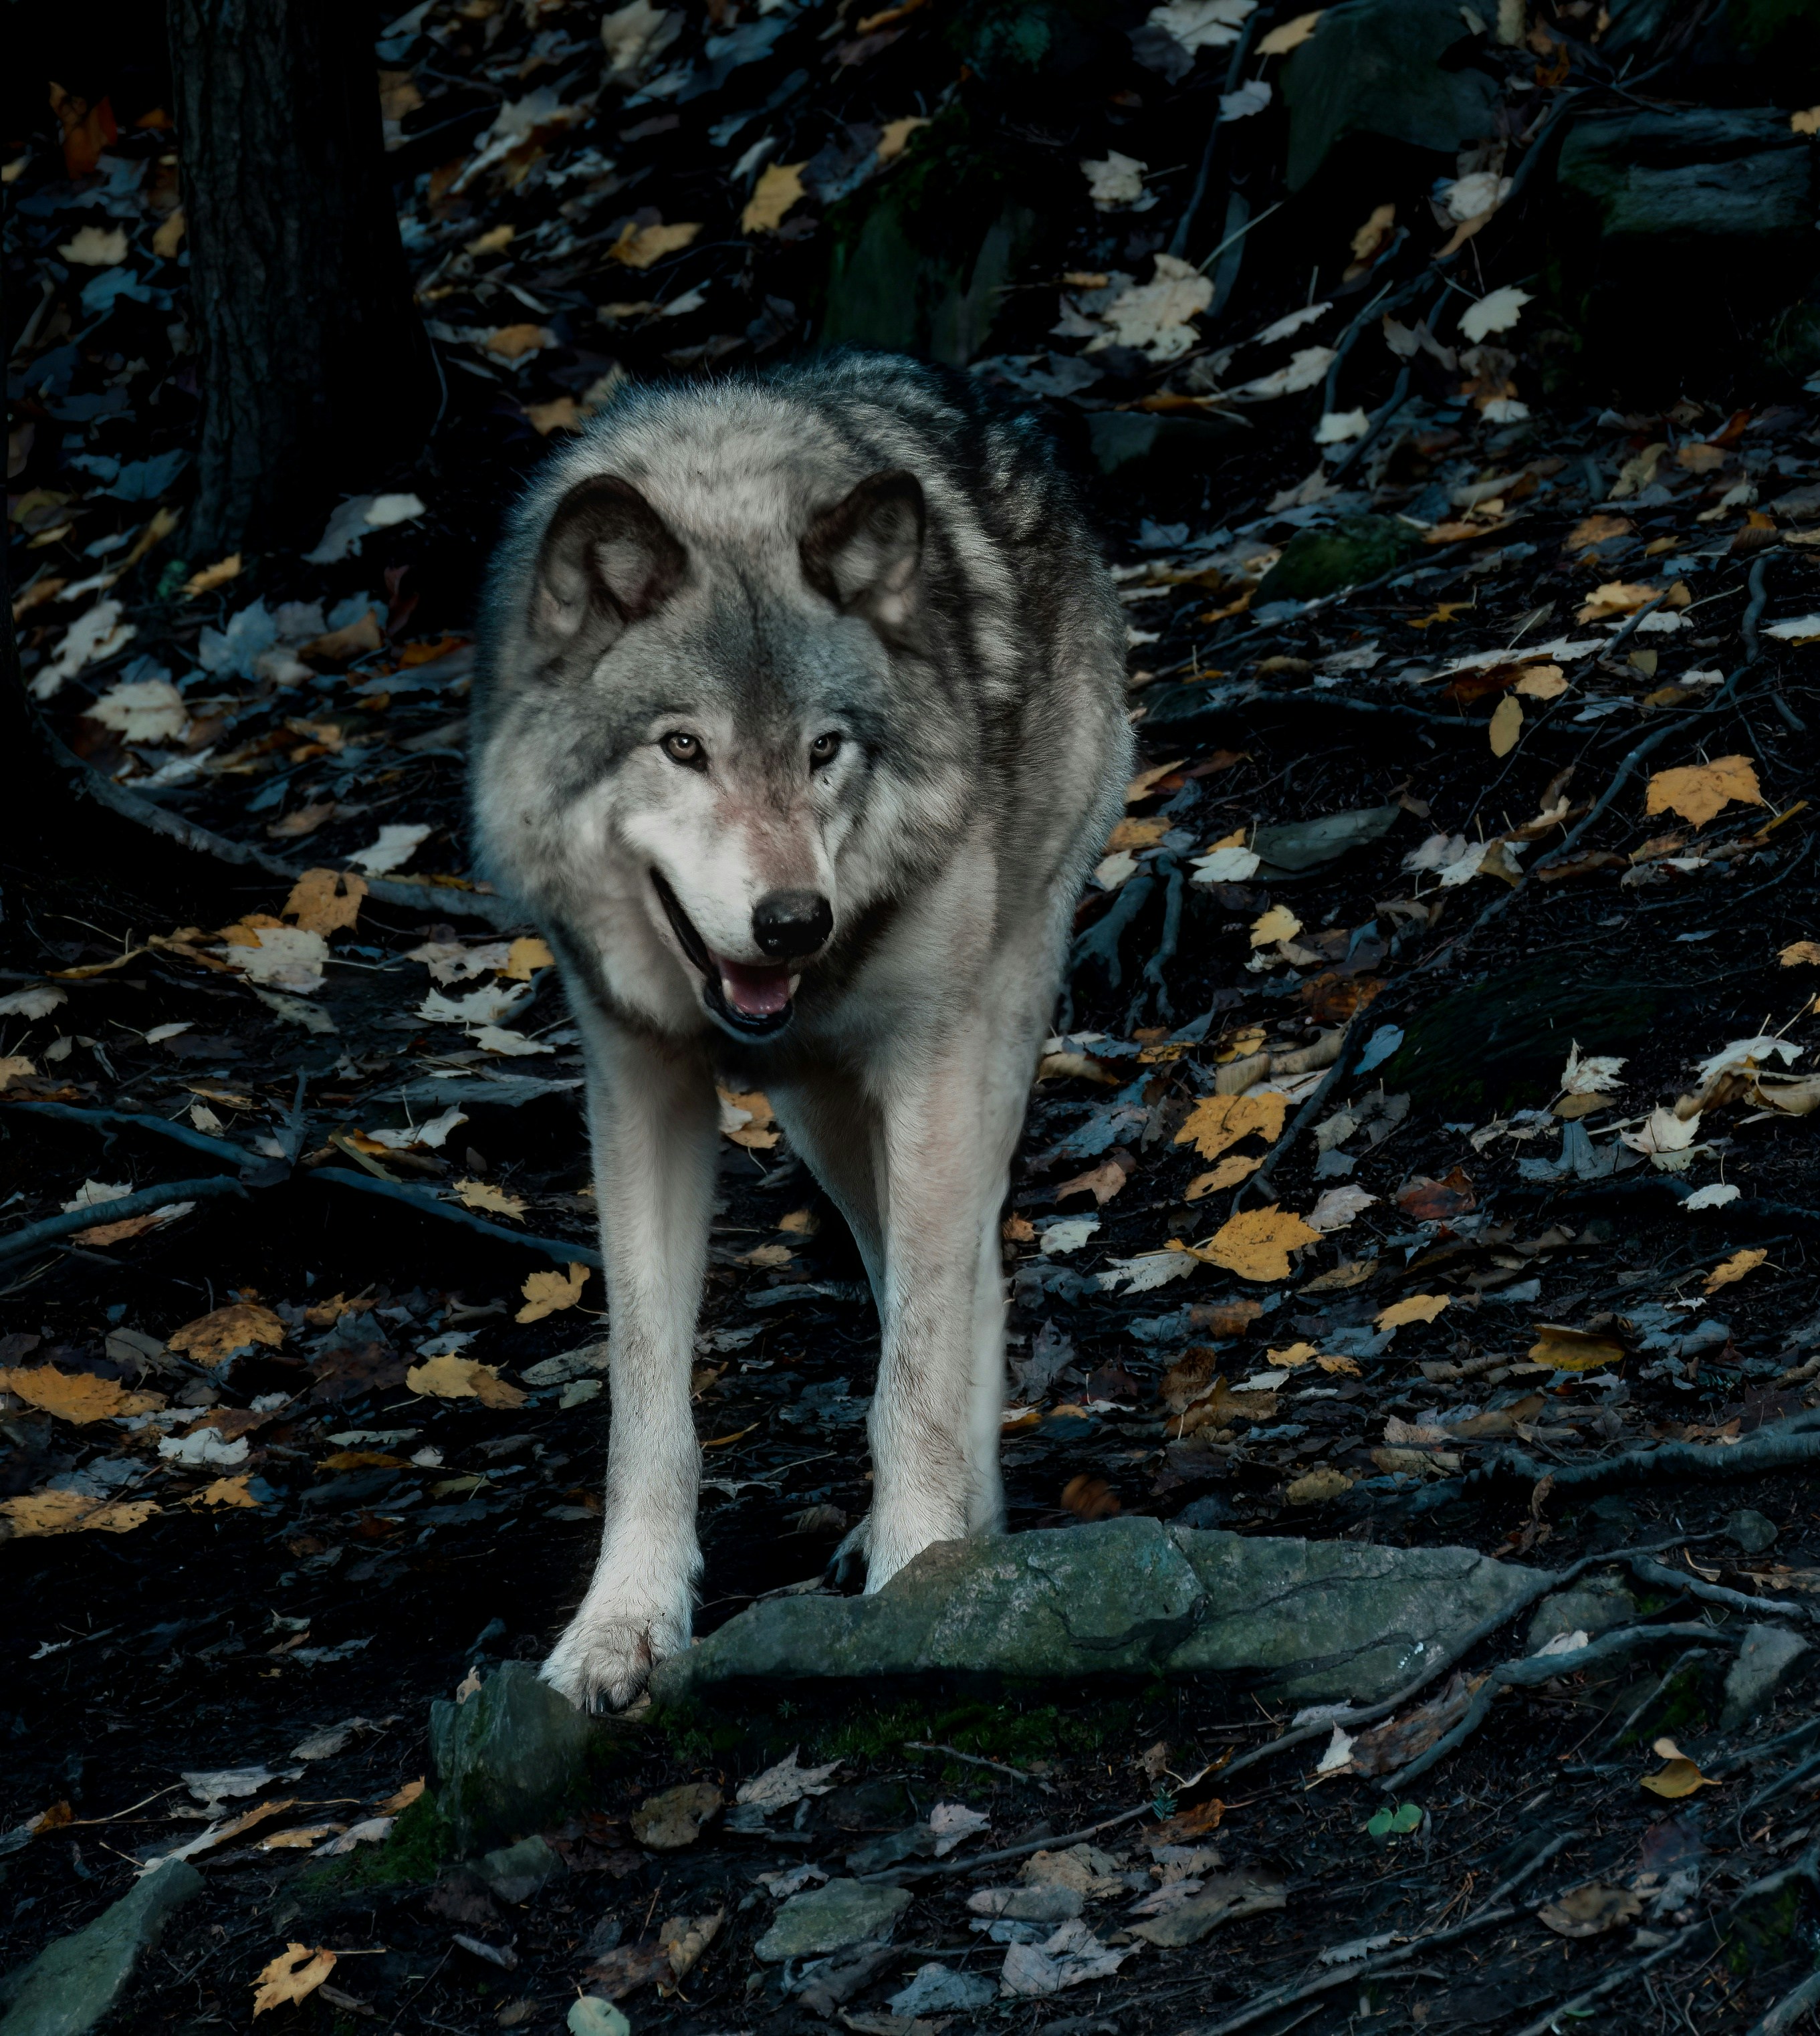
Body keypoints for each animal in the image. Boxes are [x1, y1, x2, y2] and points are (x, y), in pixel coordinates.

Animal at [470, 352, 1132, 1709]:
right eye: (682, 747)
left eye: (825, 749)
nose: (792, 921)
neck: (726, 483)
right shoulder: (637, 1088)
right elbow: (645, 1397)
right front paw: (621, 1625)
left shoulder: (931, 1063)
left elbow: (914, 1368)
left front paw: (923, 1582)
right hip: (823, 1115)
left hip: (984, 1031)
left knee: (964, 1277)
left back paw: (962, 1535)